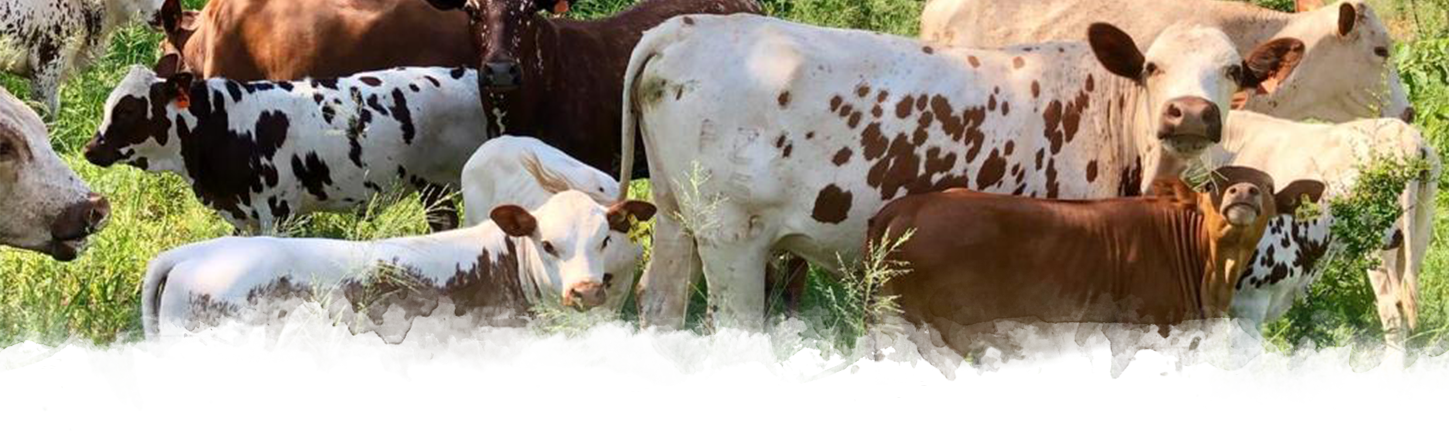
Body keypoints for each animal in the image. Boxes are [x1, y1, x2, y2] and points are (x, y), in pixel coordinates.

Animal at [139, 190, 656, 431]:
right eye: (548, 244)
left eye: (604, 240)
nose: (586, 290)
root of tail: (192, 253)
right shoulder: (474, 386)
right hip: (216, 407)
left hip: (181, 401)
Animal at [617, 14, 1306, 370]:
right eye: (1153, 68)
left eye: (1233, 72)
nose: (1190, 113)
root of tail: (688, 26)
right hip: (731, 231)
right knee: (735, 337)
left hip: (679, 216)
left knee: (660, 305)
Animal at [850, 167, 1315, 431]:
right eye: (1214, 185)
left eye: (1267, 186)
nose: (1243, 193)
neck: (1211, 266)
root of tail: (911, 206)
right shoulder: (1143, 354)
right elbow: (1138, 422)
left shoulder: (1126, 360)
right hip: (941, 341)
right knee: (922, 407)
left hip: (890, 325)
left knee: (871, 390)